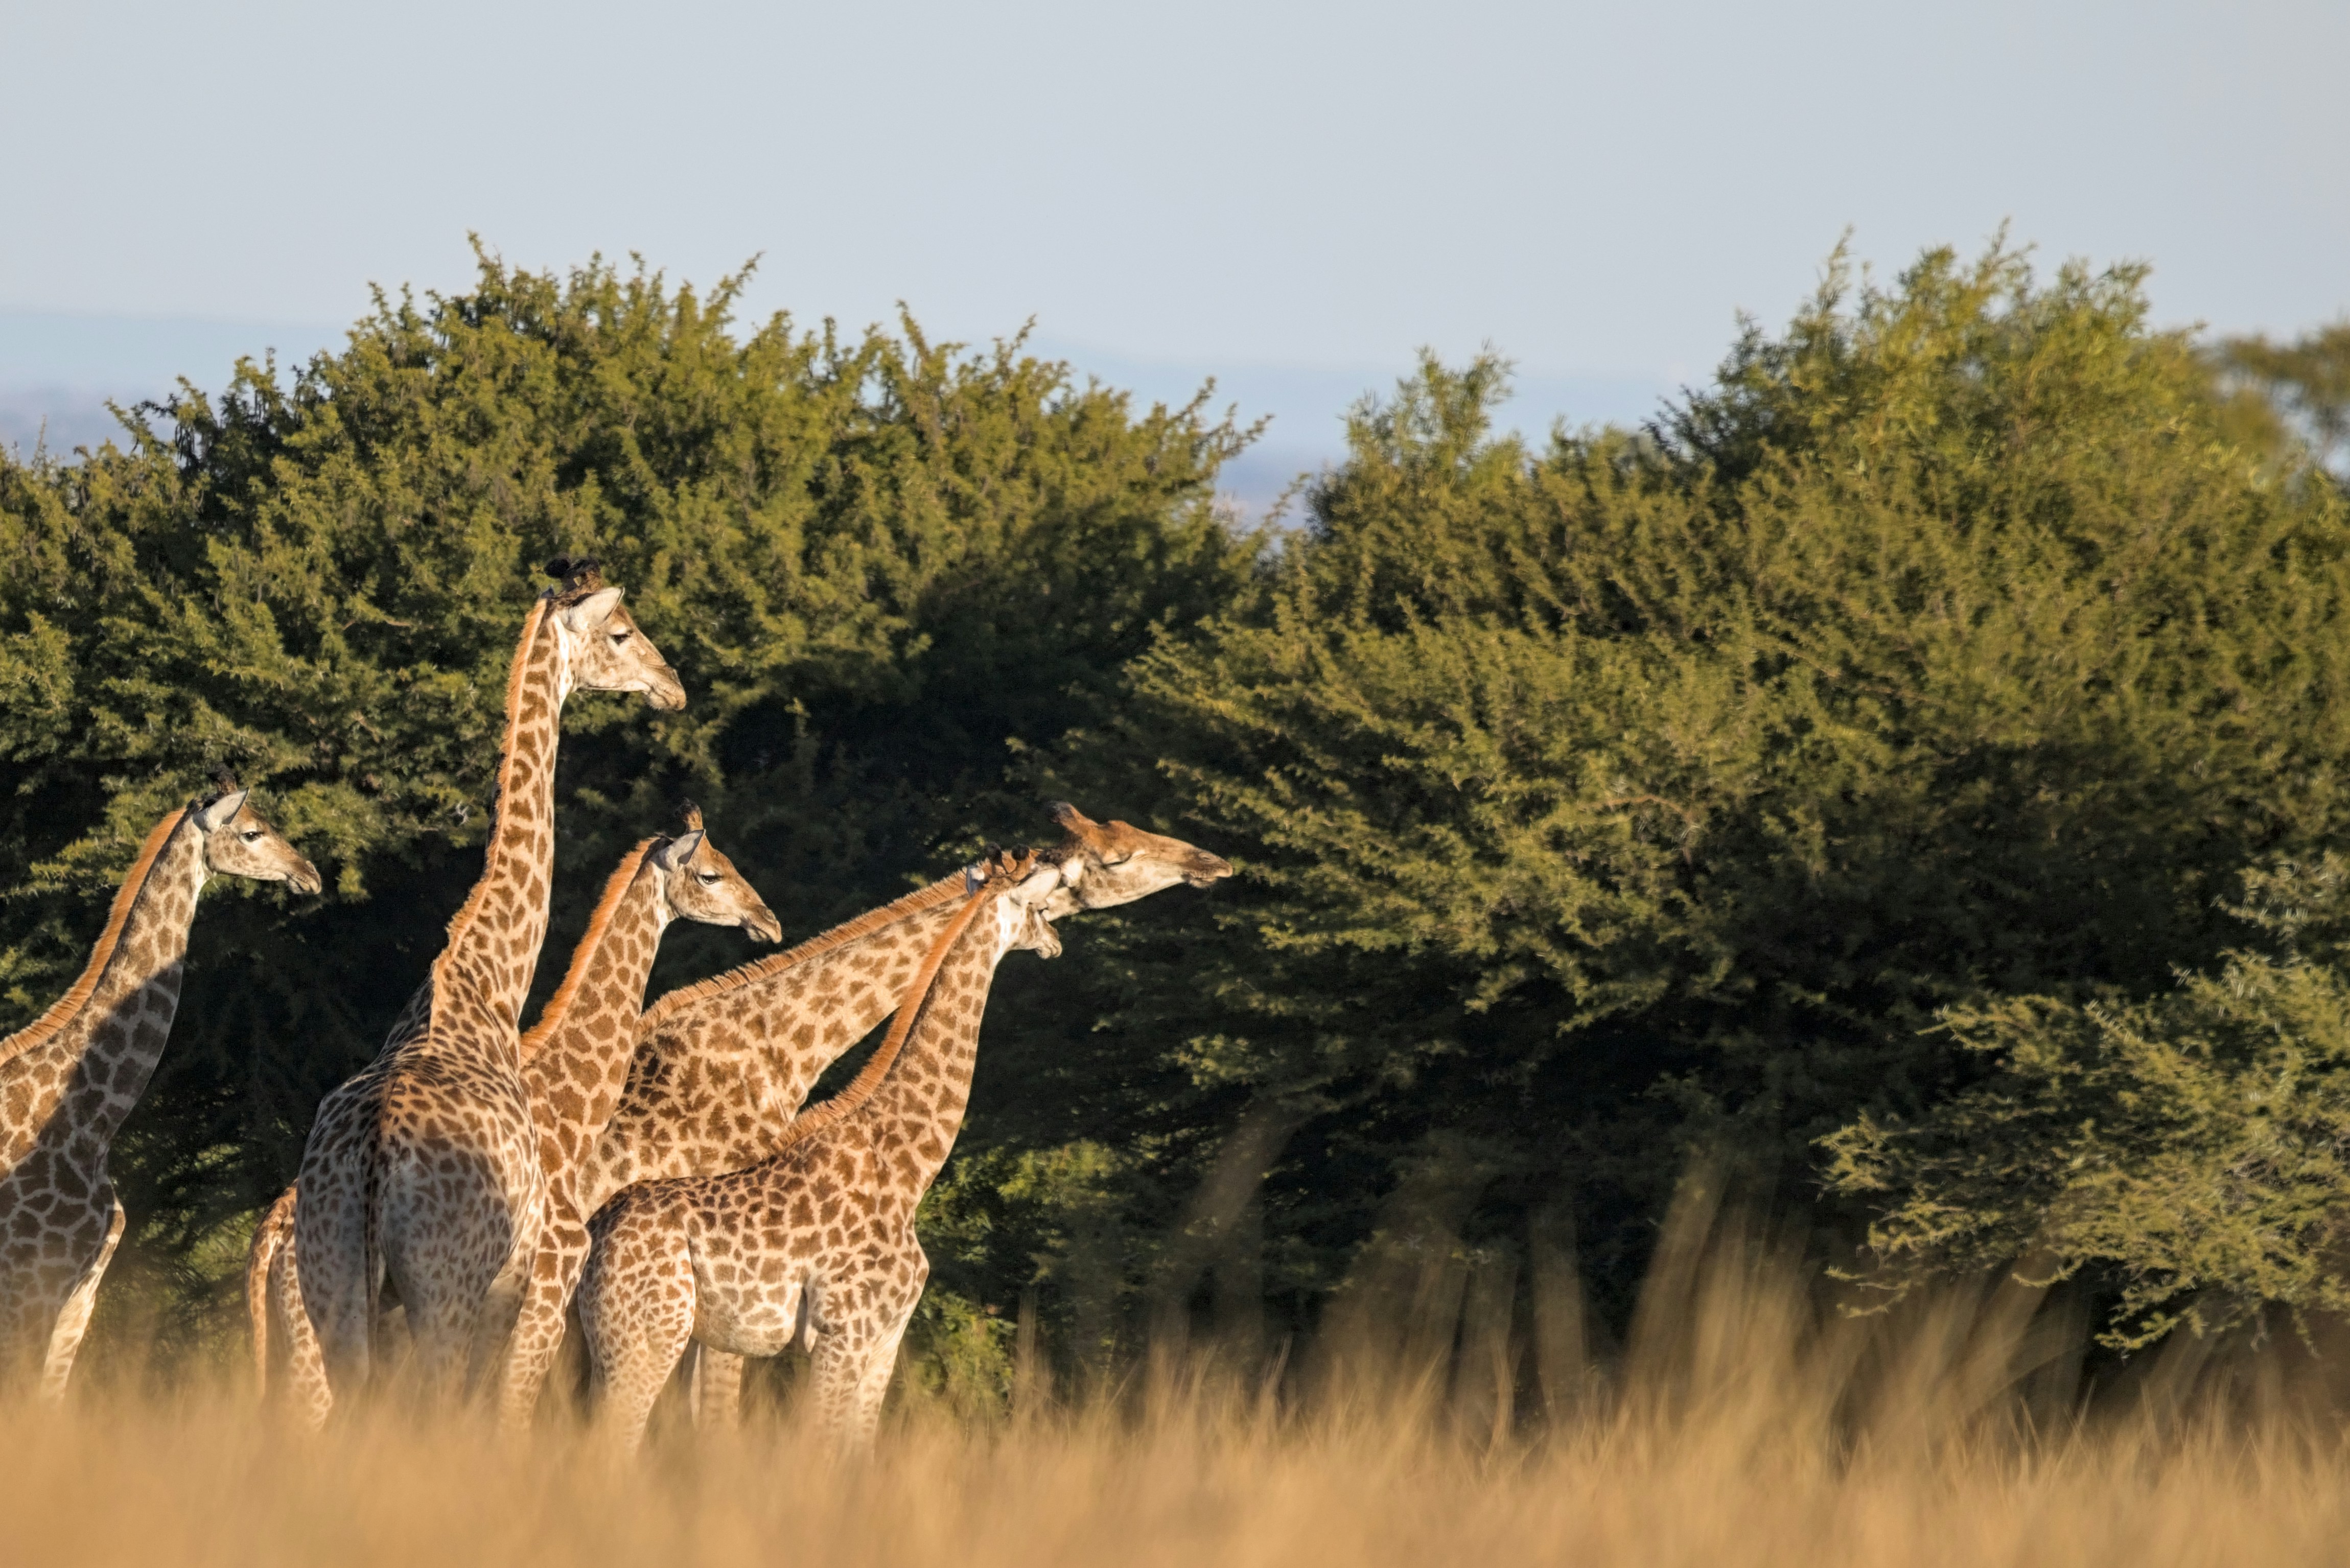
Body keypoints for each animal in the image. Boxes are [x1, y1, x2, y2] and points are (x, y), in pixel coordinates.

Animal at [248, 808, 780, 1425]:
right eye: (711, 874)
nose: (768, 920)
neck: (574, 1116)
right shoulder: (539, 1290)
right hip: (435, 1298)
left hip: (342, 1290)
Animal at [291, 557, 685, 1417]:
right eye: (619, 632)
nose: (671, 684)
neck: (487, 983)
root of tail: (372, 1156)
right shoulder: (517, 1280)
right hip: (446, 1289)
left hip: (332, 1279)